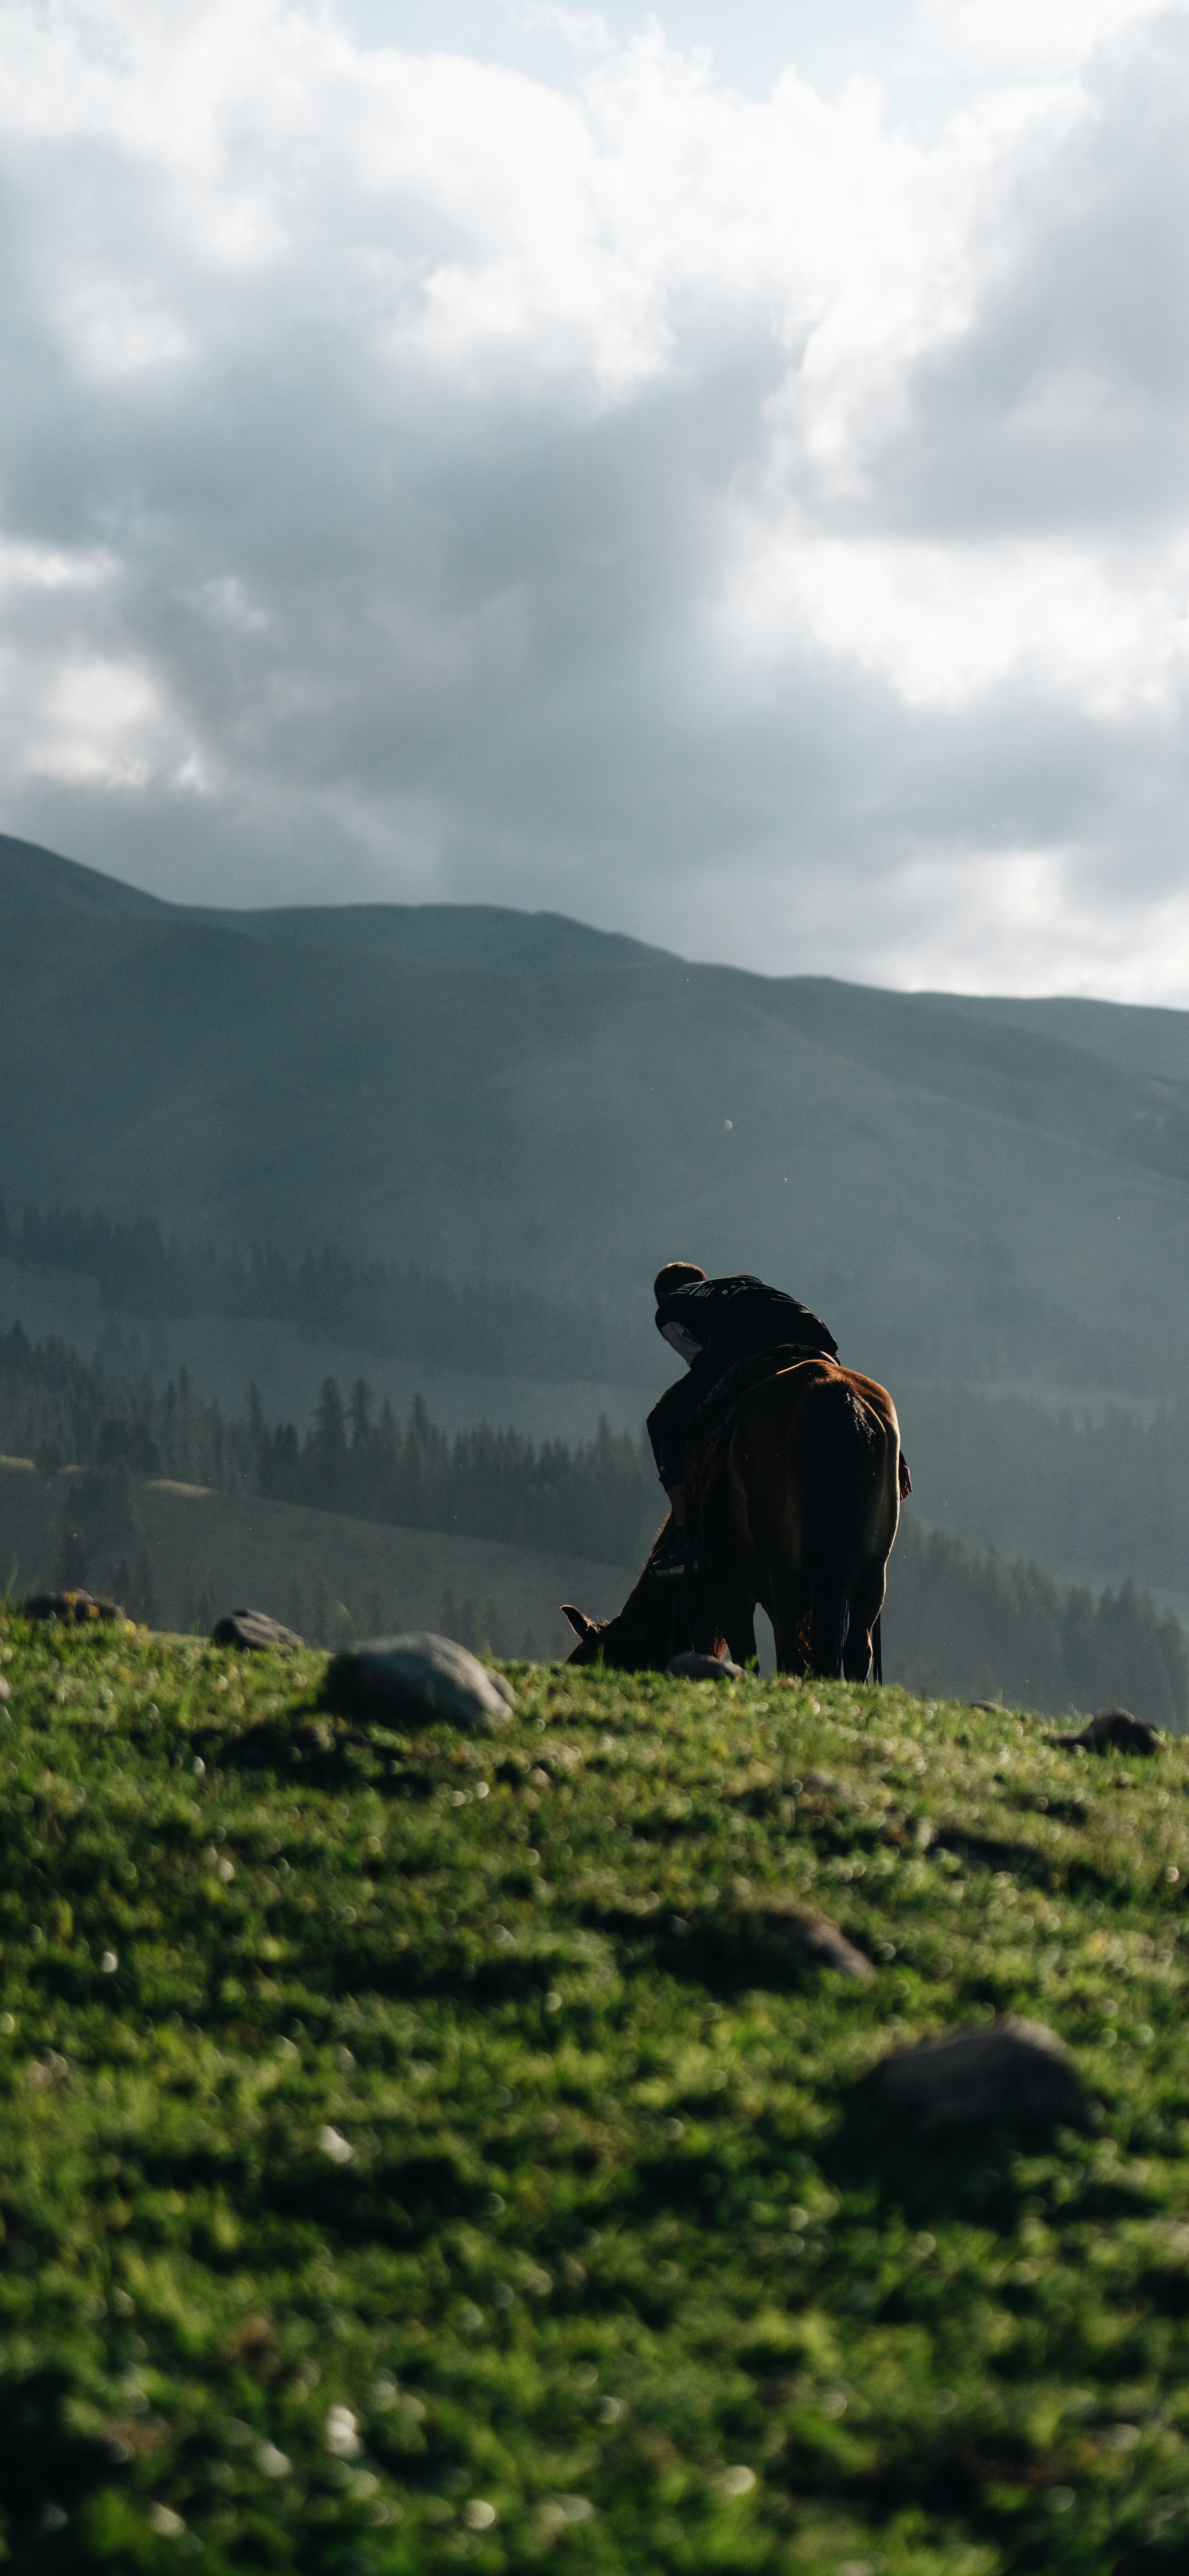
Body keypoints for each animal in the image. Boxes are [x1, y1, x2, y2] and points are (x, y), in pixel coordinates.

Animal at [562, 1355, 902, 1681]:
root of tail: (835, 1392)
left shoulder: (730, 1589)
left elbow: (749, 1660)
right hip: (871, 1572)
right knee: (855, 1652)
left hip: (787, 1578)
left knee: (803, 1655)